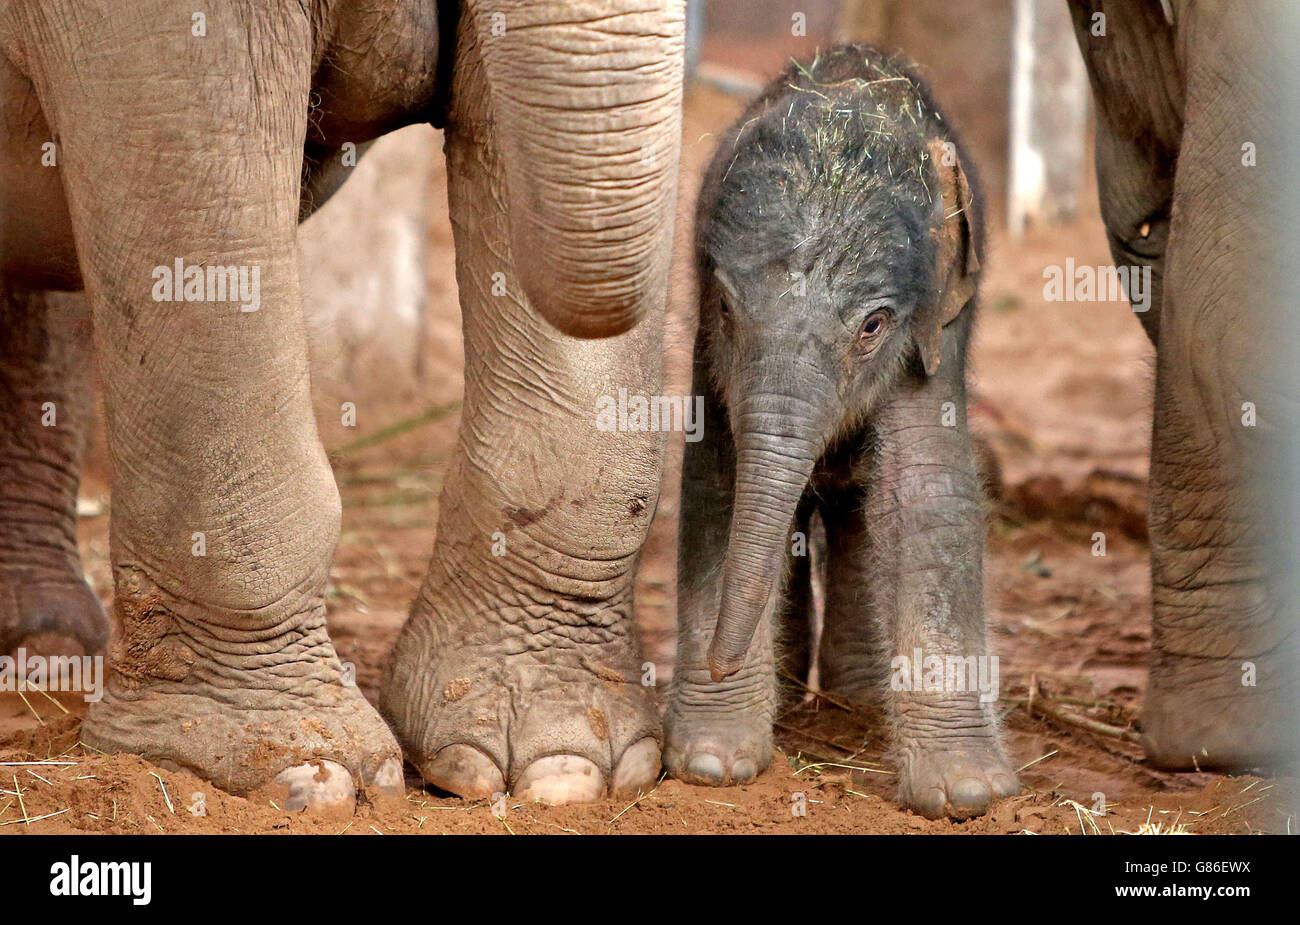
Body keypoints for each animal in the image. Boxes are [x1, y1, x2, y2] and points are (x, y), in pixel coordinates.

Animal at [662, 45, 1019, 820]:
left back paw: (850, 700)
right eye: (729, 308)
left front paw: (966, 793)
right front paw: (713, 763)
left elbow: (926, 489)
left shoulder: (937, 323)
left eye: (873, 325)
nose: (720, 661)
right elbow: (719, 478)